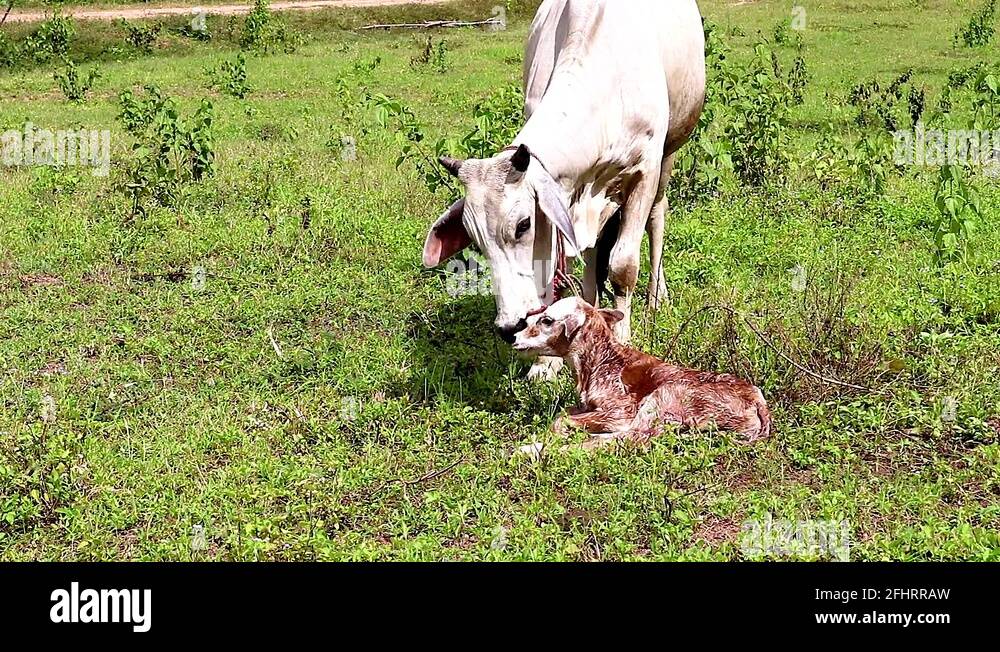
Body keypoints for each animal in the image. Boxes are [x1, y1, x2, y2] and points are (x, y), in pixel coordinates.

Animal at [422, 0, 706, 380]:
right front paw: (547, 361)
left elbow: (623, 265)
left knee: (657, 218)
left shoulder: (646, 168)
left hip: (671, 151)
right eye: (474, 239)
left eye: (522, 225)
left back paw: (656, 295)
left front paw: (622, 335)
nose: (509, 326)